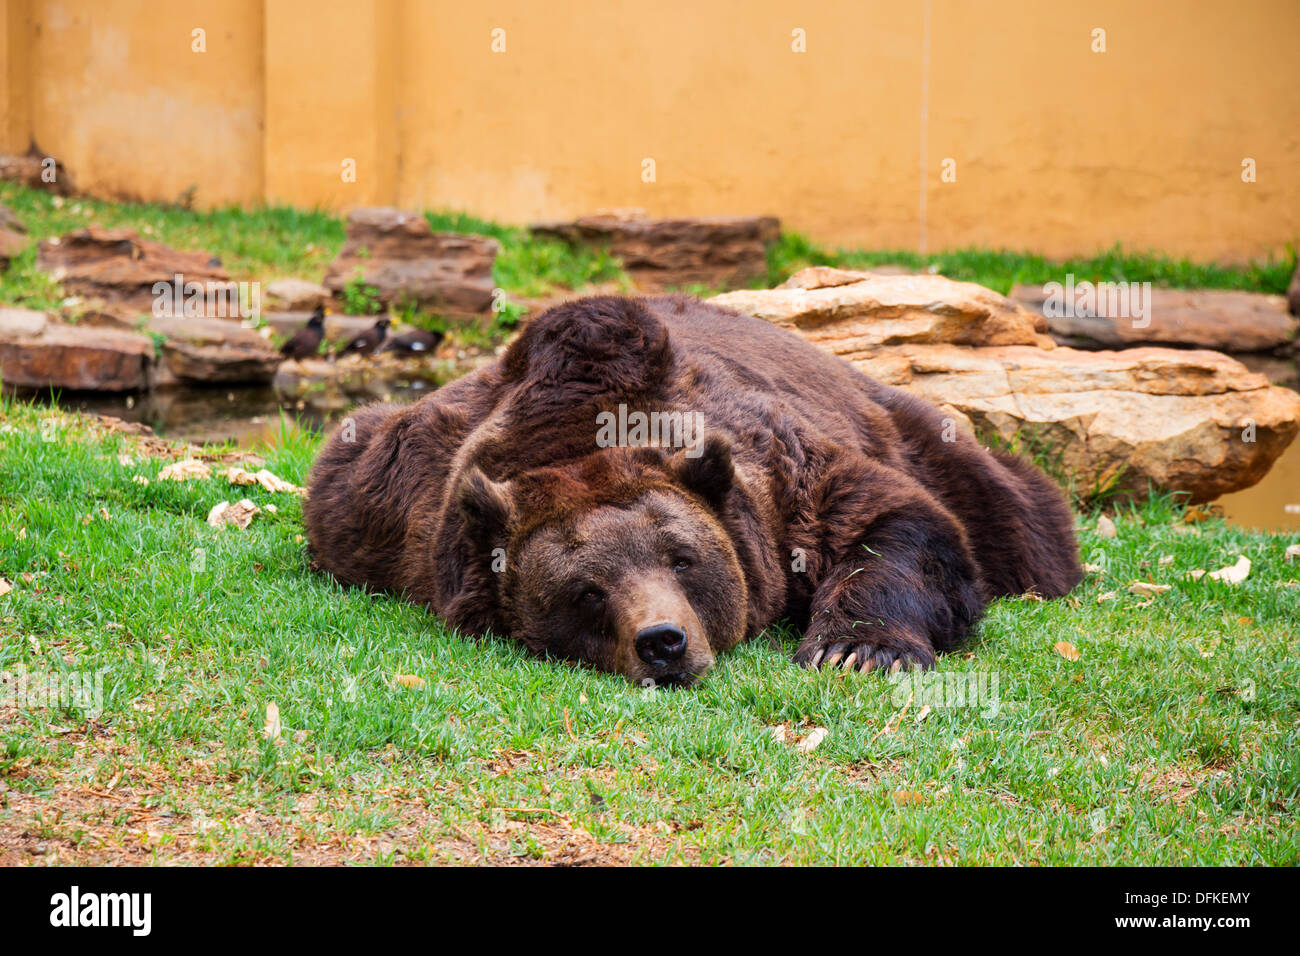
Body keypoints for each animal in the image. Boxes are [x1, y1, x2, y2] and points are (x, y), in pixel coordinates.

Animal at [303, 294, 1083, 686]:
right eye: (587, 591)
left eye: (683, 558)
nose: (663, 642)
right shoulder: (387, 499)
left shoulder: (784, 478)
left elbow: (890, 521)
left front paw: (858, 649)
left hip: (908, 426)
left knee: (1013, 514)